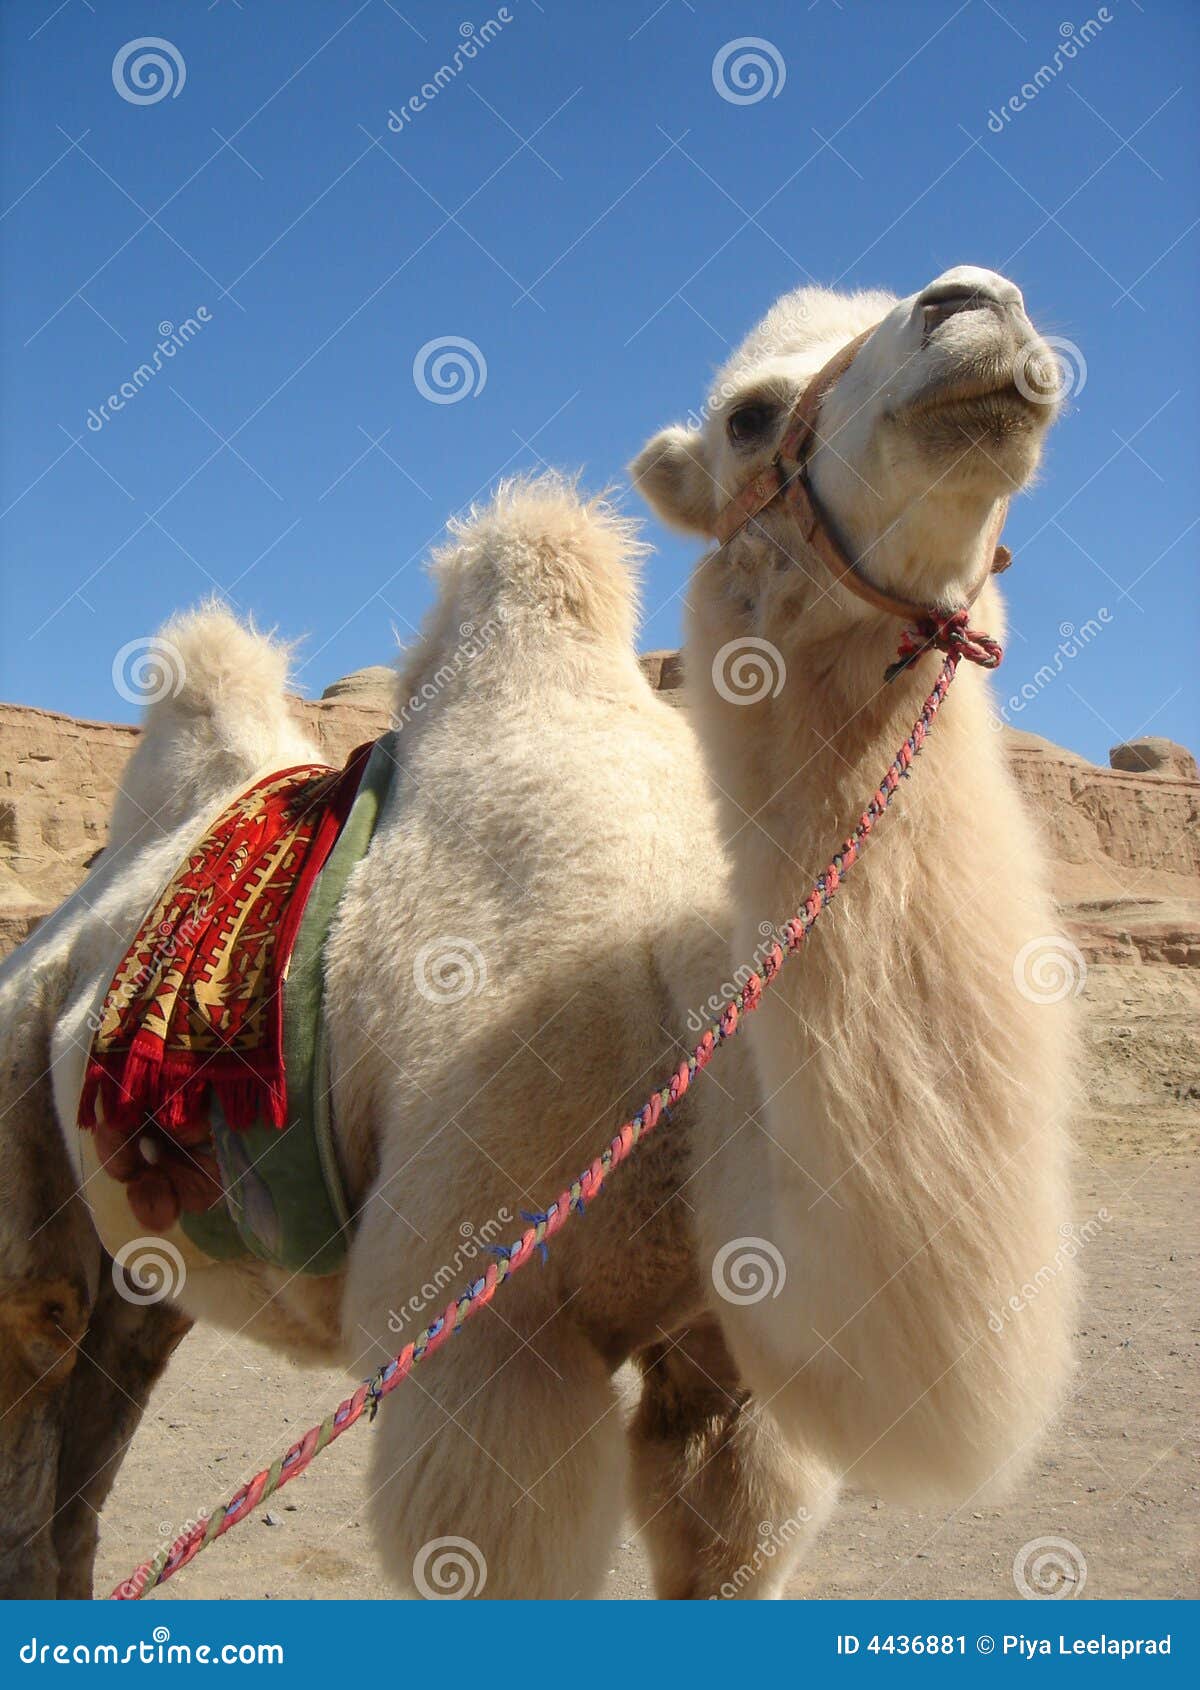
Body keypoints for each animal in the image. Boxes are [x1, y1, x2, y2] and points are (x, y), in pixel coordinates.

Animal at [0, 265, 1075, 1602]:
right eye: (748, 415)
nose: (978, 306)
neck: (685, 1017)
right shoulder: (483, 1335)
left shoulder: (729, 1373)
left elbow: (727, 1540)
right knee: (39, 1342)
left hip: (142, 1235)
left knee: (110, 1382)